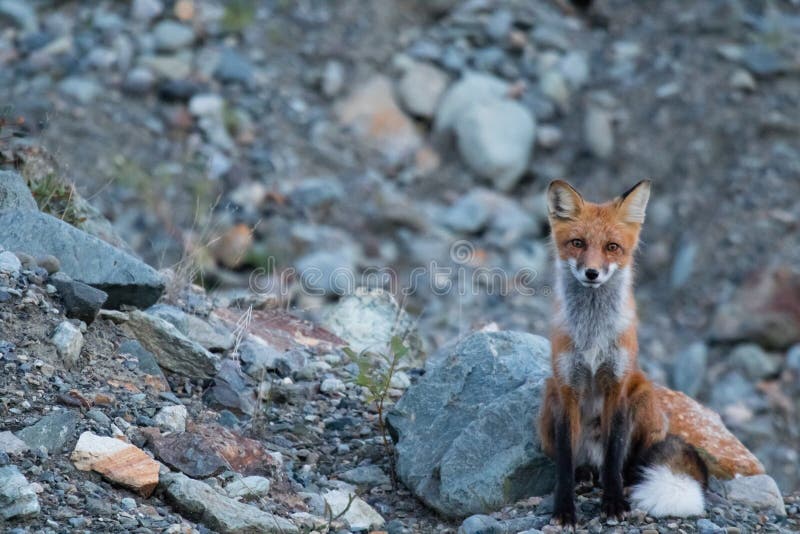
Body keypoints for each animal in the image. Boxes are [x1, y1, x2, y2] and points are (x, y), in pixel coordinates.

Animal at [538, 180, 708, 526]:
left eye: (612, 247)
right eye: (578, 243)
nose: (591, 273)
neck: (592, 336)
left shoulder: (617, 386)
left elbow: (614, 453)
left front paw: (613, 503)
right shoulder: (566, 390)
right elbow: (564, 462)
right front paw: (564, 508)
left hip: (641, 397)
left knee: (627, 463)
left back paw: (628, 481)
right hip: (547, 401)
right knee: (582, 463)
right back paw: (585, 475)